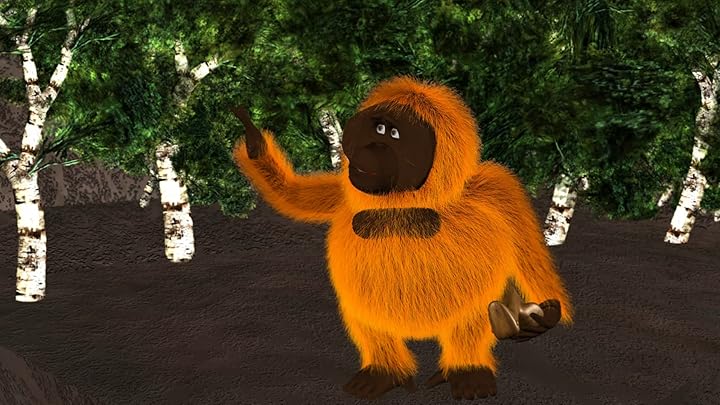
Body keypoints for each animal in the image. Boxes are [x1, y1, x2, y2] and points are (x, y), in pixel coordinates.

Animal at [231, 76, 573, 401]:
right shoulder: (344, 193)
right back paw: (384, 372)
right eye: (378, 128)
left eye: (392, 134)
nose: (369, 147)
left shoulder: (493, 189)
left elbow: (524, 244)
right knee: (371, 326)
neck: (398, 204)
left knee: (469, 323)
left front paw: (548, 312)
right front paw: (254, 143)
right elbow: (295, 196)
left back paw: (467, 370)